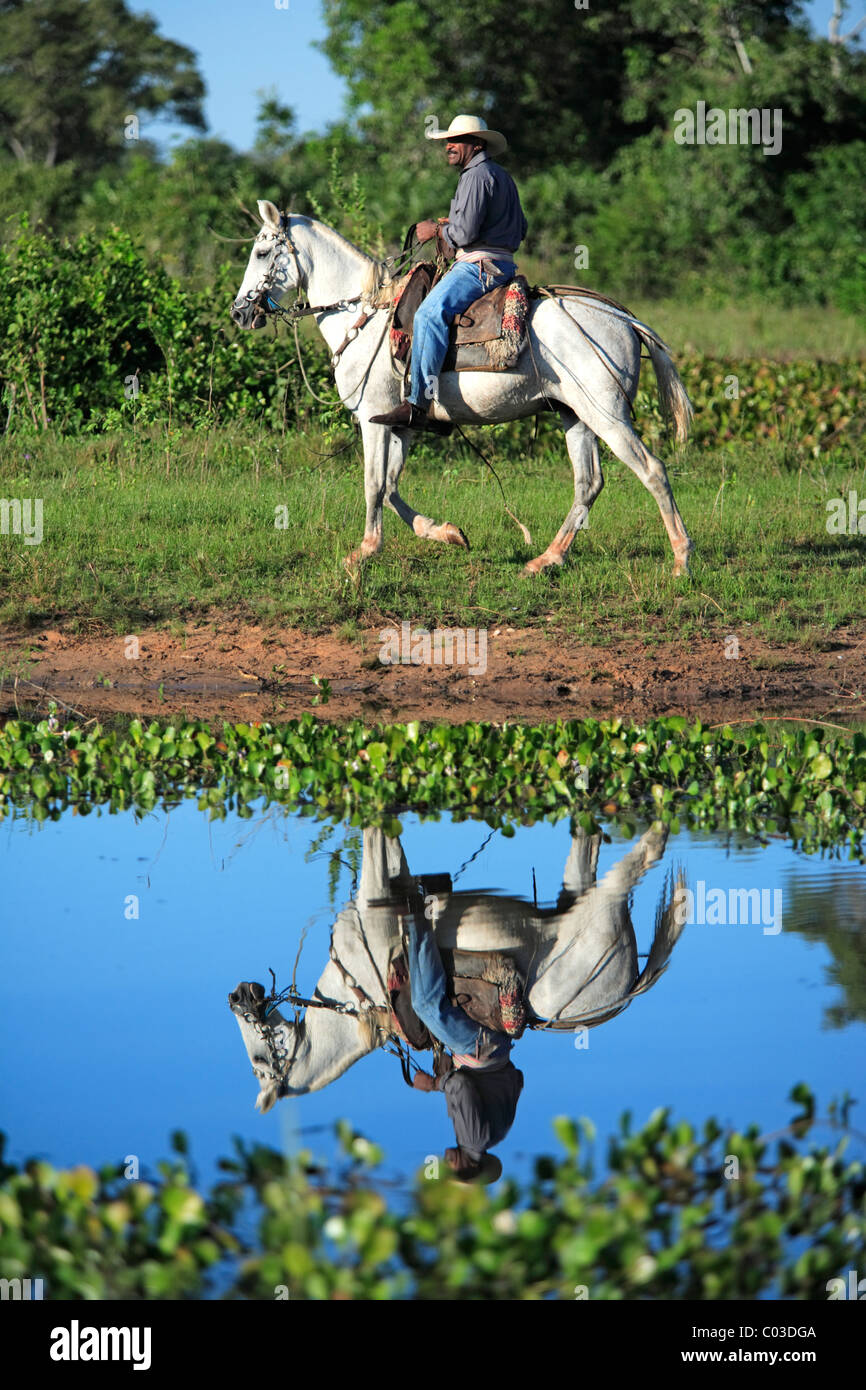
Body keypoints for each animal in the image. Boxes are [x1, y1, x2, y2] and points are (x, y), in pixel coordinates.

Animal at [228, 824, 685, 1112]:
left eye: (259, 1062)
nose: (237, 996)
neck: (359, 999)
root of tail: (623, 995)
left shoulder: (375, 894)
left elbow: (374, 833)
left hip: (600, 909)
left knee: (645, 854)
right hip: (577, 891)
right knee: (588, 840)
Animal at [230, 201, 695, 578]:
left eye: (261, 252)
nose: (238, 312)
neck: (364, 314)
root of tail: (624, 320)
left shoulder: (373, 420)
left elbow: (374, 484)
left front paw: (364, 551)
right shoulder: (403, 424)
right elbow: (392, 487)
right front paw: (447, 533)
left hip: (607, 414)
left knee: (652, 470)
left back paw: (681, 559)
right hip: (575, 416)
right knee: (588, 483)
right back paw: (546, 559)